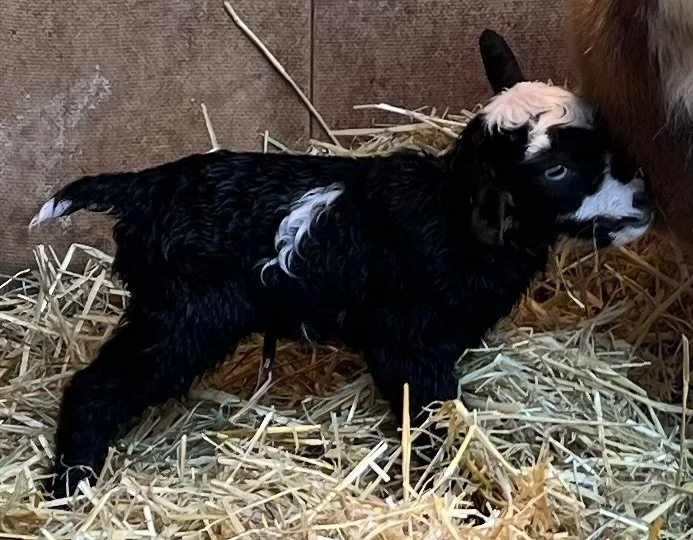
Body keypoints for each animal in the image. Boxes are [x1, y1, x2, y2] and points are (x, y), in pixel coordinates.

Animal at [31, 29, 653, 499]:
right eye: (555, 171)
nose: (645, 200)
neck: (451, 217)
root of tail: (144, 188)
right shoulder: (407, 343)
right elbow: (427, 416)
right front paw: (441, 484)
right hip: (180, 319)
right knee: (95, 388)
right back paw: (71, 485)